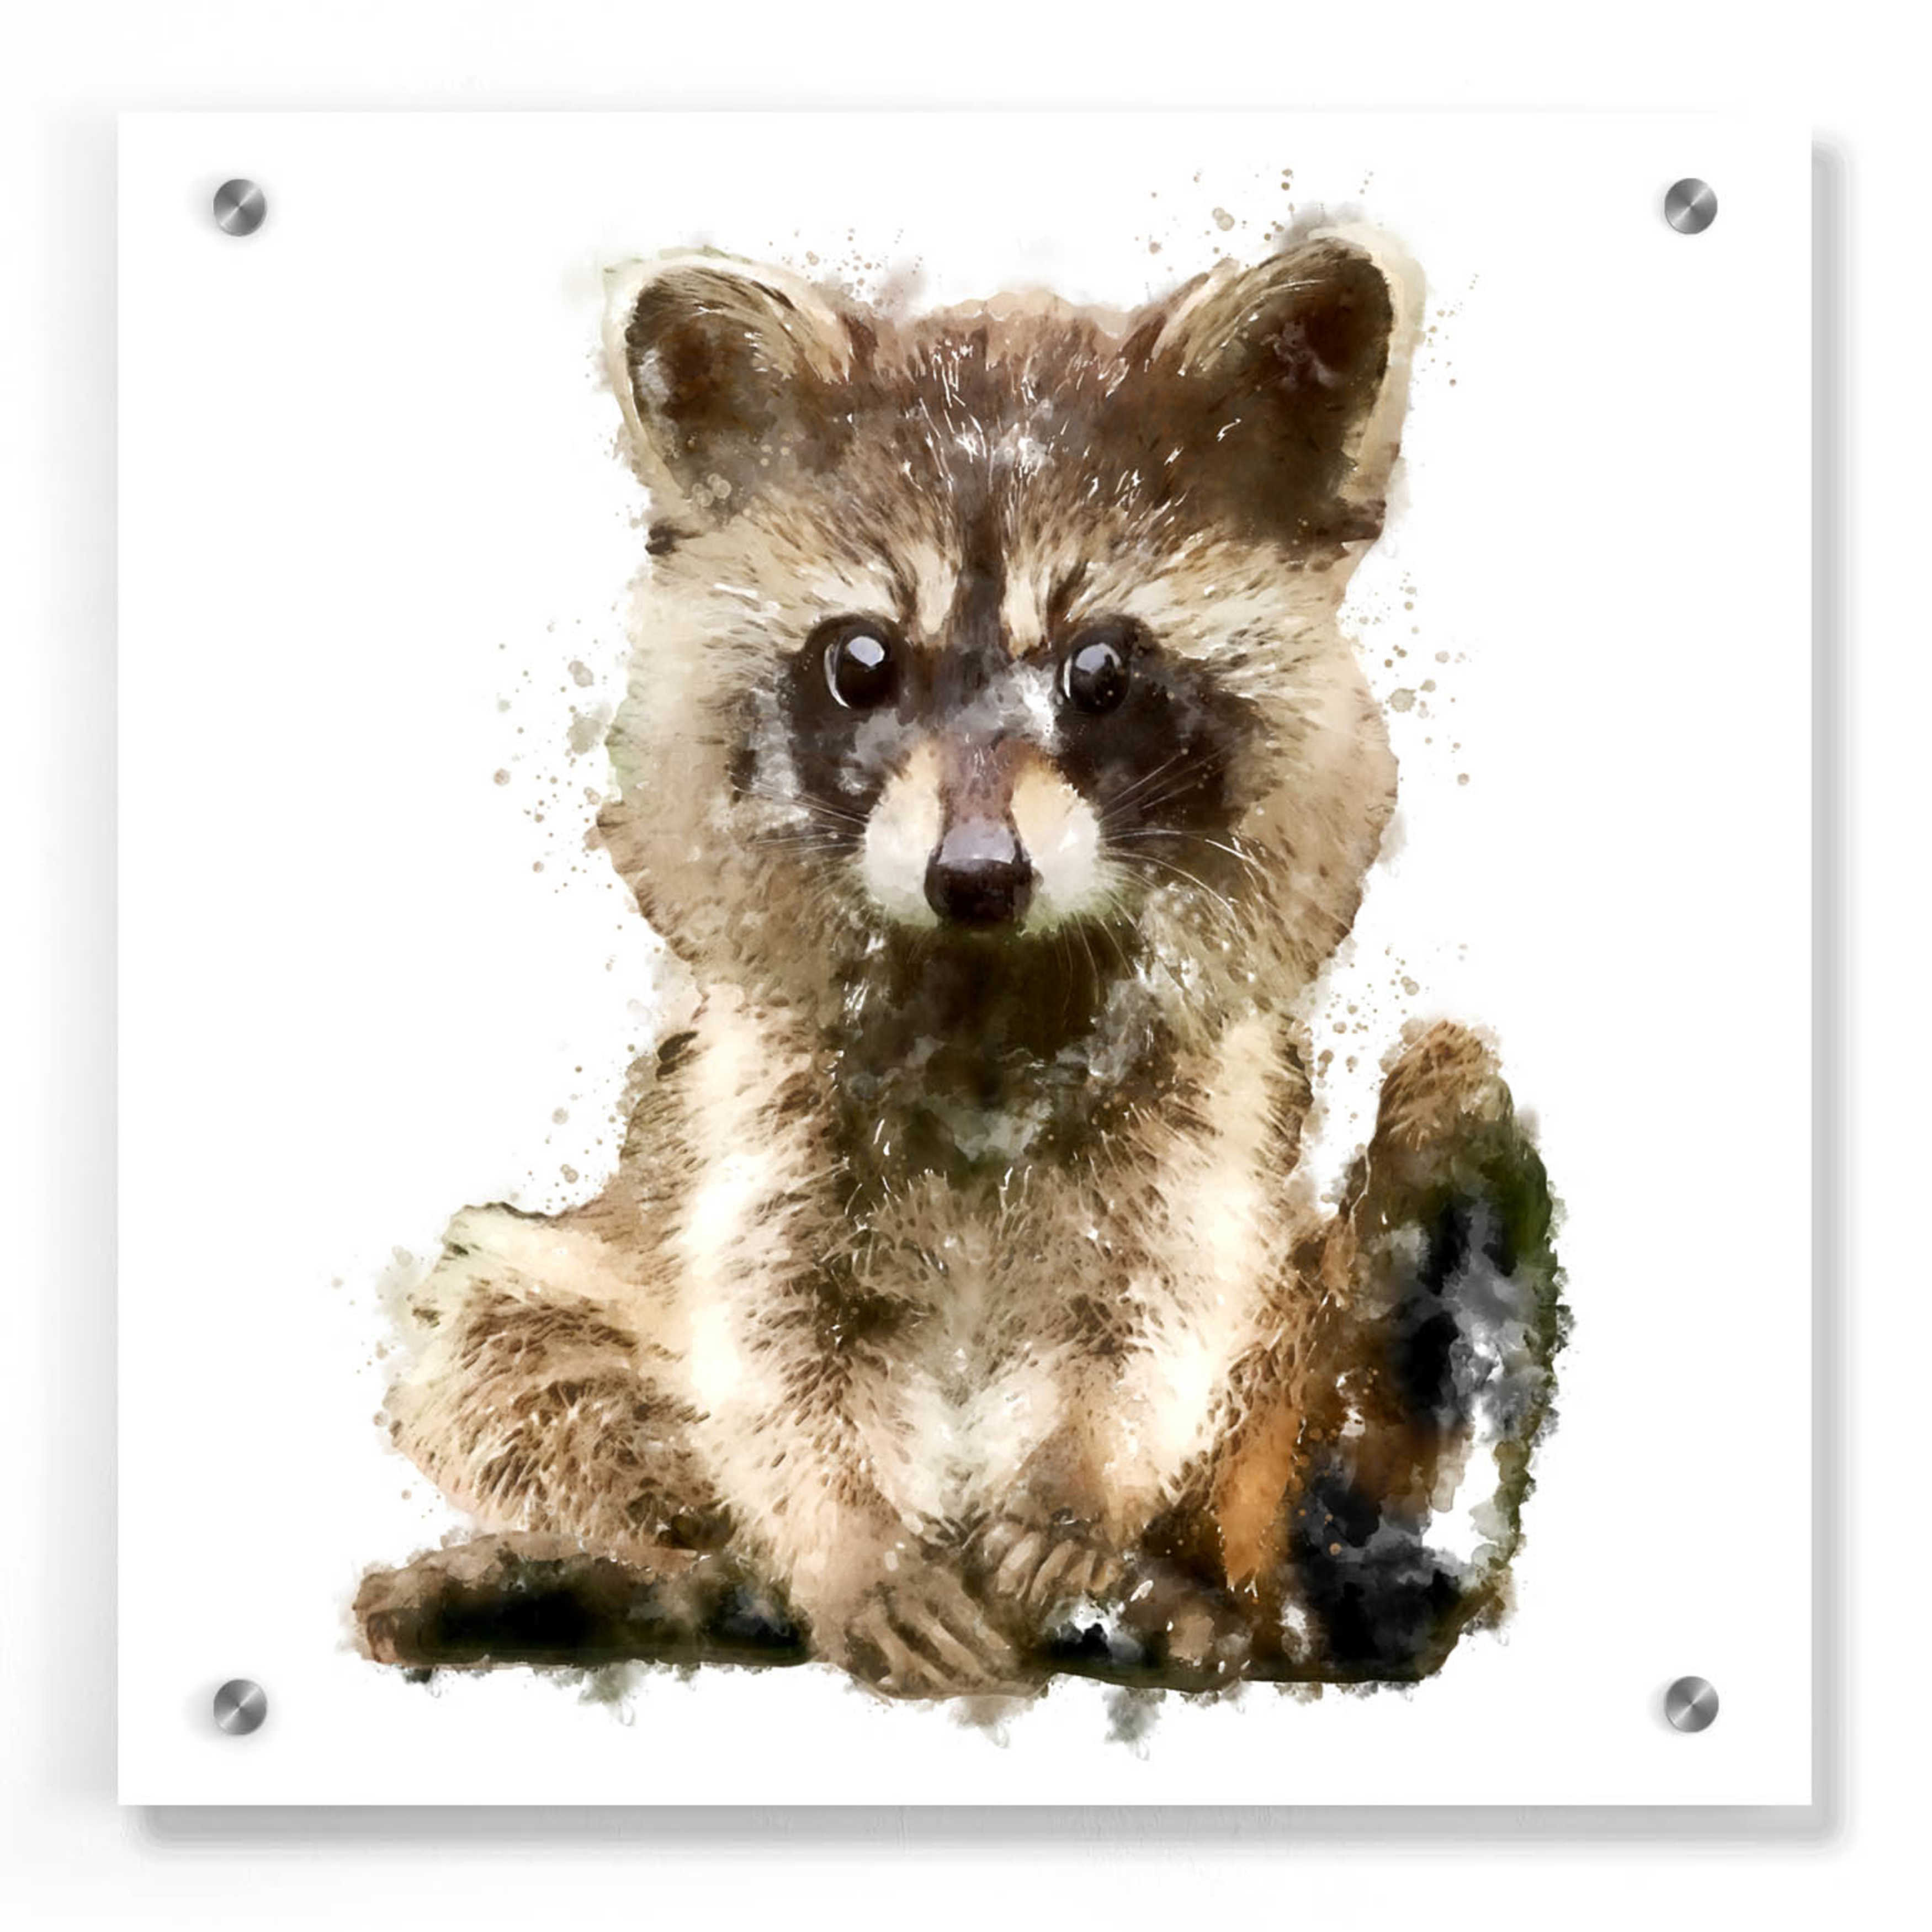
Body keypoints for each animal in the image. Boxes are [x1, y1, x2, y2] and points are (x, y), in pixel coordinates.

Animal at [355, 229, 1564, 1697]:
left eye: (1101, 669)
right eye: (863, 662)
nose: (977, 875)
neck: (991, 983)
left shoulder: (1200, 1117)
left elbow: (1143, 1318)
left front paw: (1071, 1500)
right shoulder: (755, 1097)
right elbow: (779, 1339)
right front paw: (852, 1549)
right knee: (488, 1335)